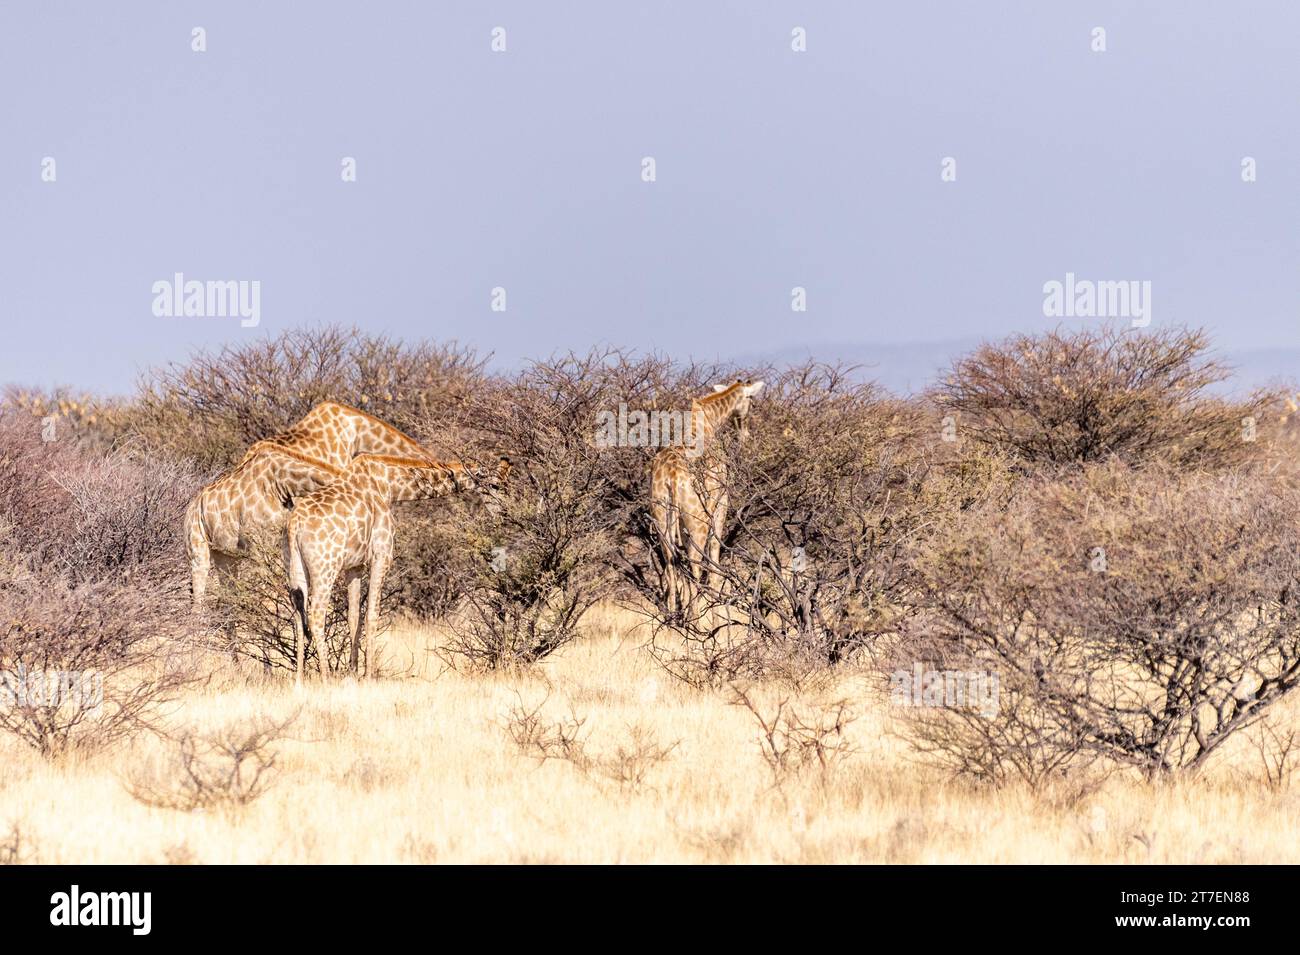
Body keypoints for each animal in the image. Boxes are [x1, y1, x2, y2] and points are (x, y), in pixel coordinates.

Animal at [285, 453, 507, 682]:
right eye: (495, 485)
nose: (505, 513)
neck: (388, 484)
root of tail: (295, 524)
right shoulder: (381, 555)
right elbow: (372, 614)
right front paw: (369, 676)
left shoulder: (354, 566)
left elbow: (354, 616)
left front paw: (352, 673)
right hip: (325, 566)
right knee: (316, 615)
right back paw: (326, 677)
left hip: (296, 567)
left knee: (298, 614)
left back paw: (299, 679)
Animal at [649, 378, 765, 614]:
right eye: (751, 400)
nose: (745, 434)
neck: (708, 419)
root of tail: (671, 475)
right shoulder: (721, 503)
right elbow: (714, 560)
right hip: (697, 519)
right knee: (695, 561)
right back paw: (696, 616)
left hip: (662, 516)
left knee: (670, 562)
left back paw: (673, 615)